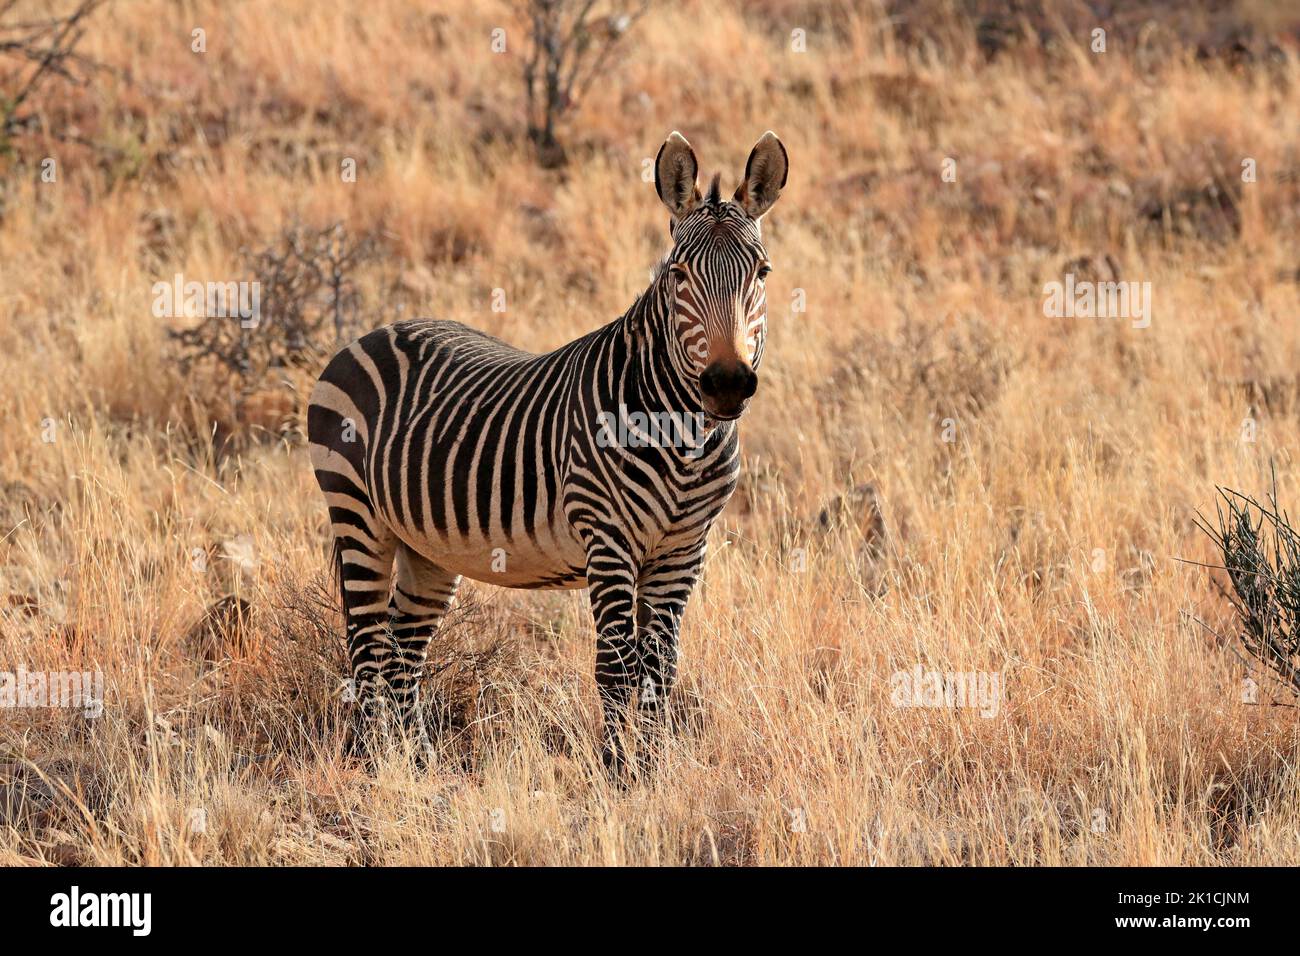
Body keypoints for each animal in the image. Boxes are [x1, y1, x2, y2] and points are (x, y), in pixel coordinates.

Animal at [307, 131, 788, 773]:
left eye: (762, 271)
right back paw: (371, 765)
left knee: (403, 651)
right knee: (366, 648)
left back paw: (418, 767)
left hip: (424, 546)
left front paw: (654, 770)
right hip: (356, 512)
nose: (728, 384)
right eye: (679, 274)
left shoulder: (684, 550)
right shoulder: (607, 536)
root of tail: (370, 333)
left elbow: (660, 670)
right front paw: (618, 773)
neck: (685, 435)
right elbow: (617, 668)